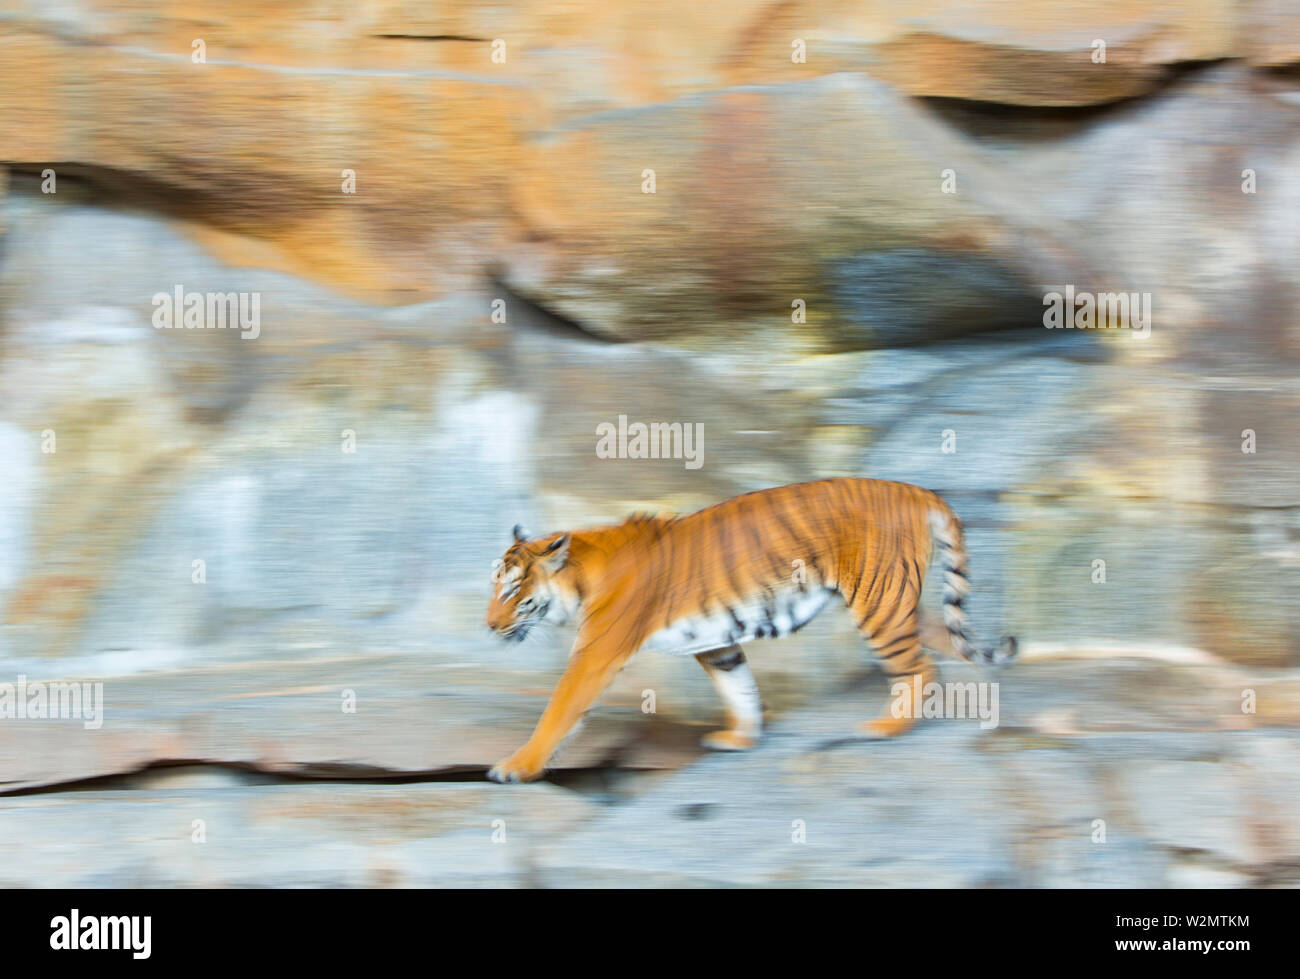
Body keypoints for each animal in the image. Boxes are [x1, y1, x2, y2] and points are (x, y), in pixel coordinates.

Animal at [484, 476, 1017, 783]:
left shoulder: (596, 653)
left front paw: (515, 767)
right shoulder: (715, 645)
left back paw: (886, 727)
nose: (489, 626)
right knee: (945, 642)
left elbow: (558, 710)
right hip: (894, 600)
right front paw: (741, 739)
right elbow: (739, 689)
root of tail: (916, 489)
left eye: (512, 590)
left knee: (920, 666)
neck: (579, 577)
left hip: (879, 604)